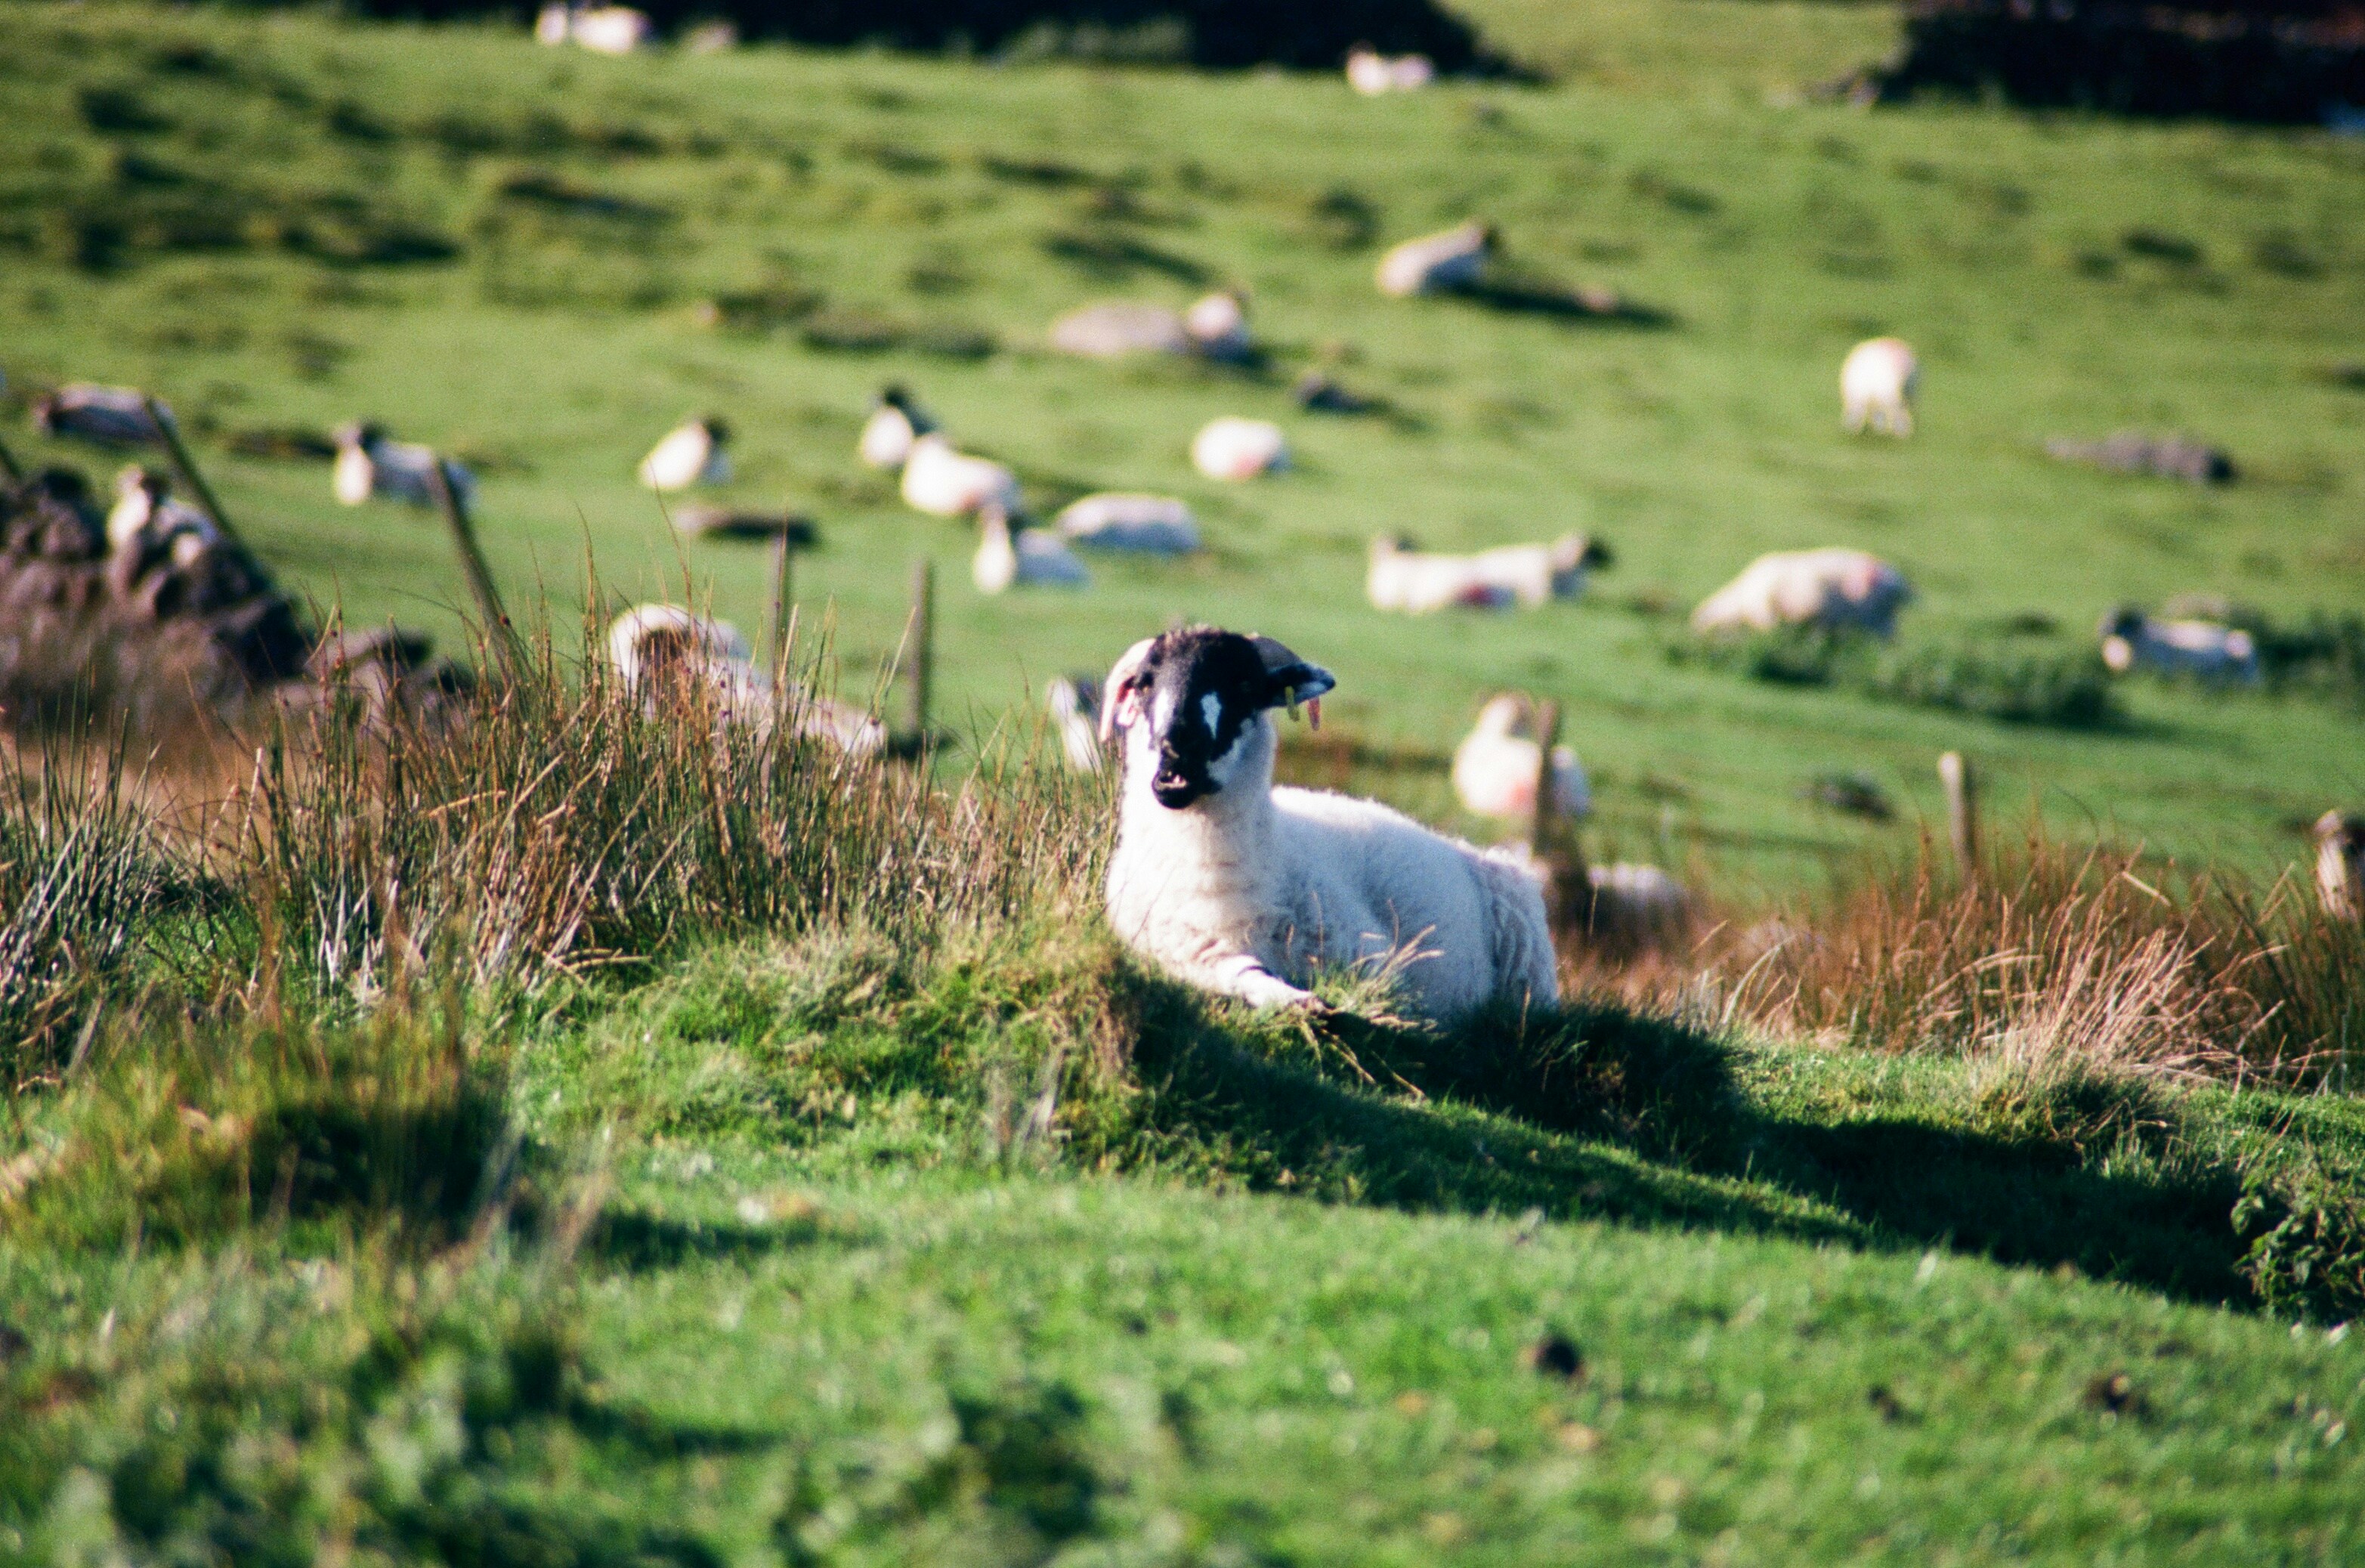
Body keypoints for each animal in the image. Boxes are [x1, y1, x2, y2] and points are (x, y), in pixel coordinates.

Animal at [1099, 625, 1558, 1022]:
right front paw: (1292, 998)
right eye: (1144, 684)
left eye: (1244, 685)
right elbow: (1238, 972)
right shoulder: (1171, 950)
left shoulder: (1372, 962)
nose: (1179, 744)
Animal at [1690, 548, 1913, 638]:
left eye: (1703, 629)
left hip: (1875, 617)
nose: (1694, 637)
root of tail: (1900, 583)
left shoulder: (1767, 616)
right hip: (1882, 617)